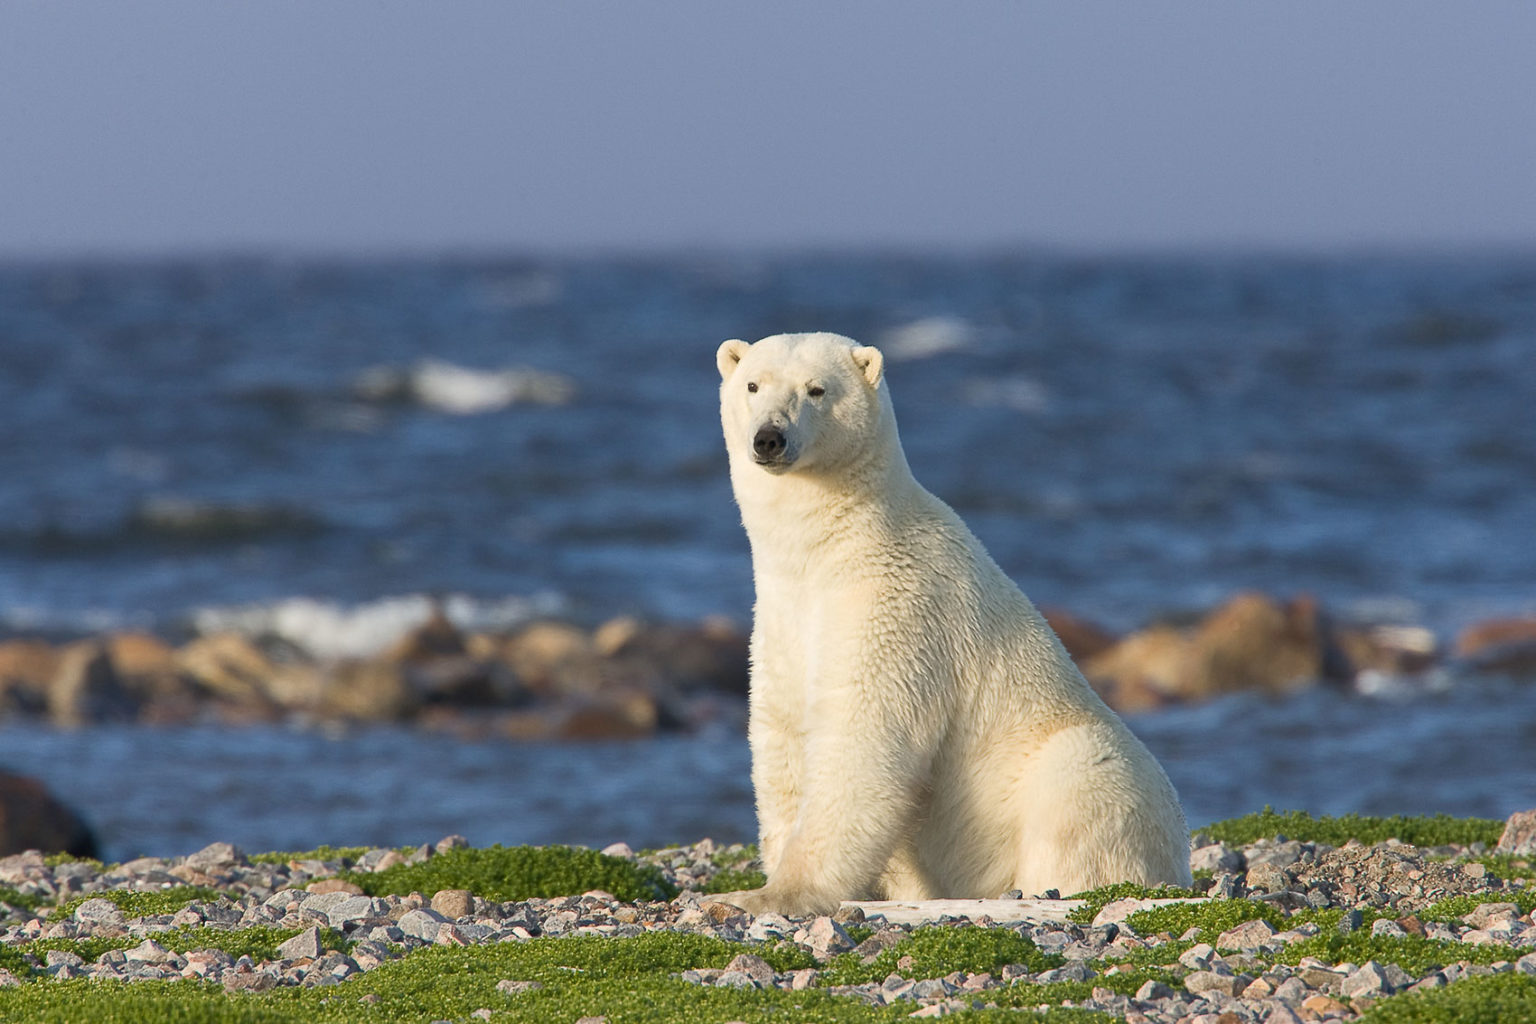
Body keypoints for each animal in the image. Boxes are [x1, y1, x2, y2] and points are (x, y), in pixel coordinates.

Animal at [713, 331, 1191, 918]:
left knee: (1080, 787)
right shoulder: (783, 617)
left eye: (816, 389)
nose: (769, 438)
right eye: (753, 385)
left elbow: (862, 738)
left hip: (1079, 770)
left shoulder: (898, 611)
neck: (835, 549)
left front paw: (772, 894)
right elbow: (784, 734)